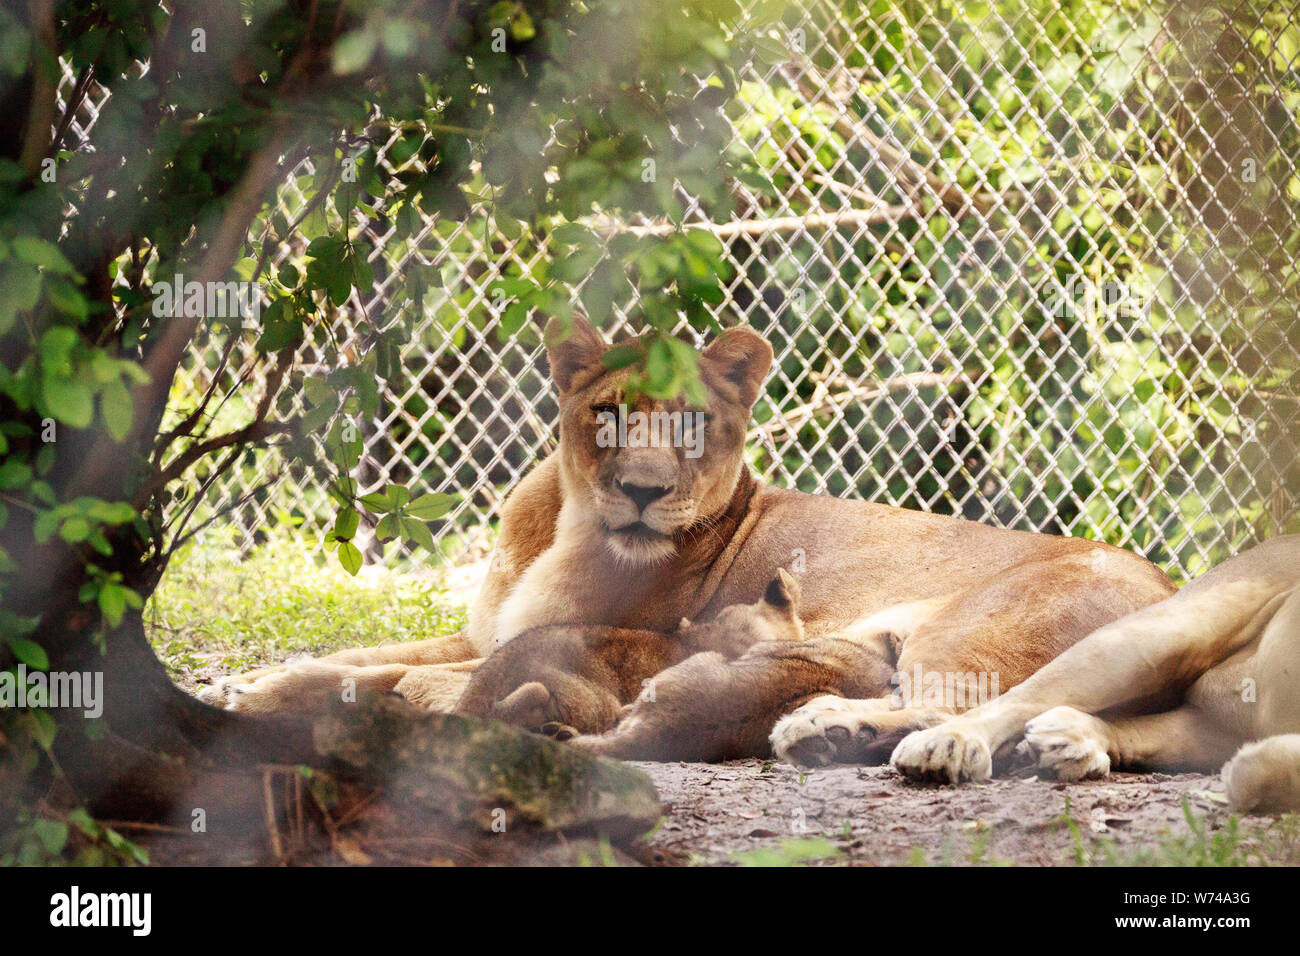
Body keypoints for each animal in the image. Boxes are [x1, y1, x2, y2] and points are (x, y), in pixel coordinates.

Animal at [881, 534, 1300, 812]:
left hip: (1218, 716)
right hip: (1176, 626)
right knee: (1027, 695)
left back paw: (1067, 743)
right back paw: (947, 744)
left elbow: (1260, 772)